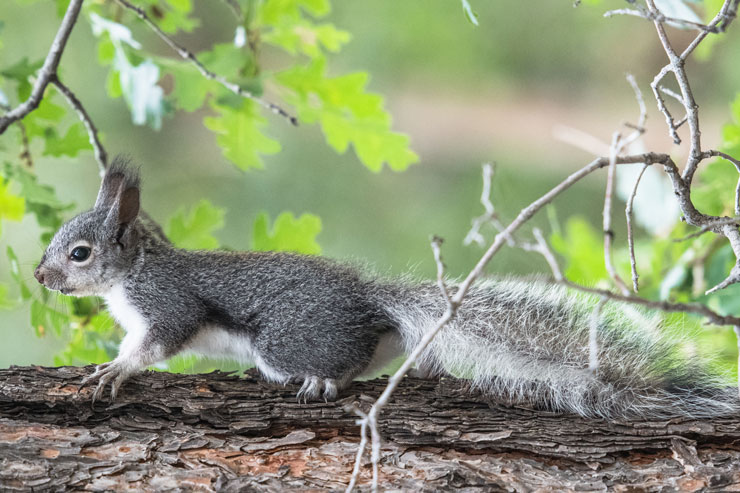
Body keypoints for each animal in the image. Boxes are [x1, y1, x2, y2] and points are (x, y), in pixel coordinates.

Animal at [33, 158, 736, 418]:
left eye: (79, 252)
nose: (41, 276)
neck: (133, 272)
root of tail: (374, 301)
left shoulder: (167, 305)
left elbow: (153, 347)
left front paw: (116, 371)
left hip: (284, 341)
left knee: (343, 361)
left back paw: (324, 382)